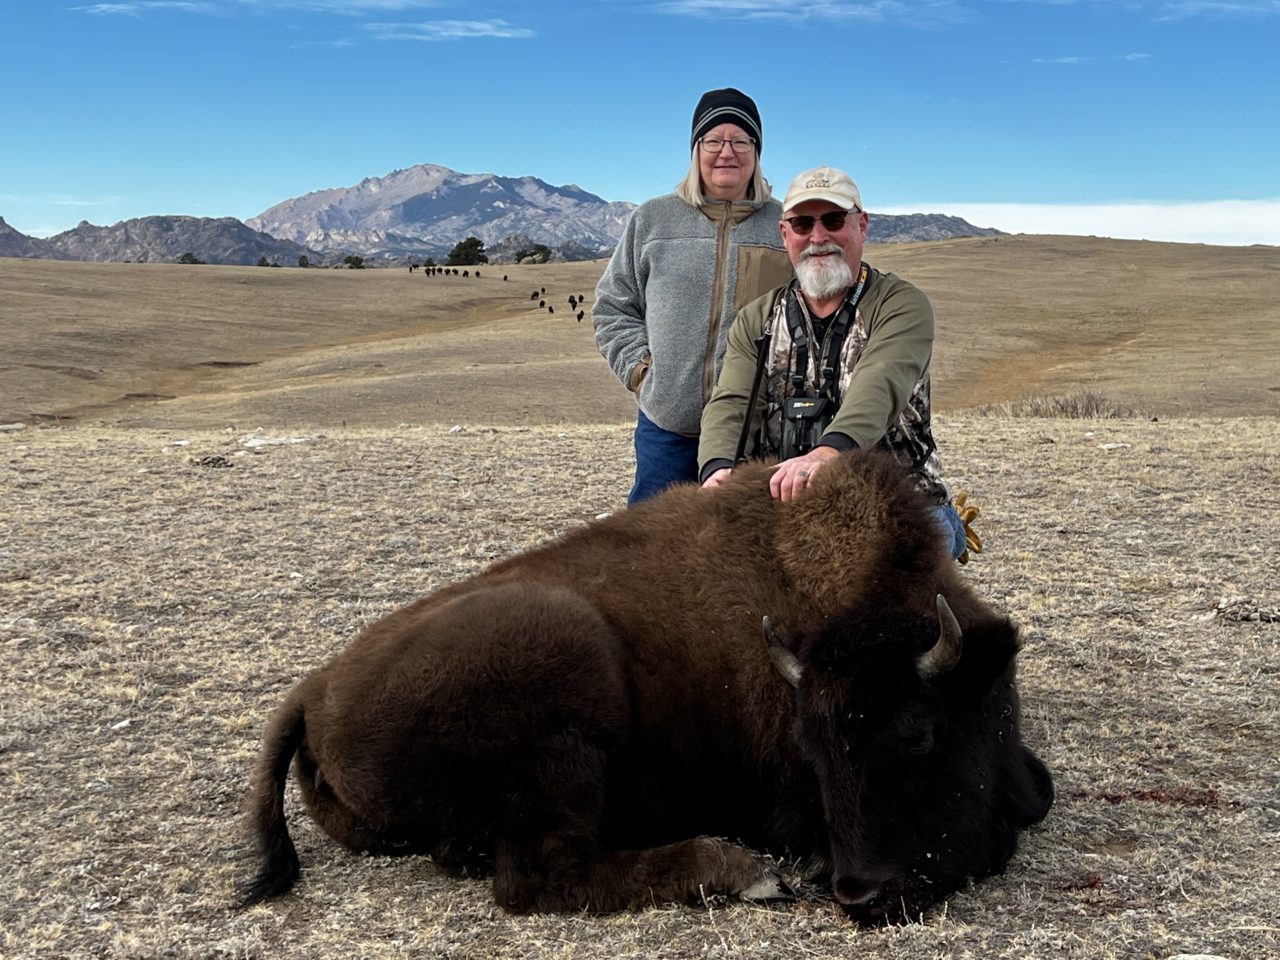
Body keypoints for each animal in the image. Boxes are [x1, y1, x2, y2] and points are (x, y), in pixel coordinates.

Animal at [240, 453, 1053, 921]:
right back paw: (743, 873)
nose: (858, 892)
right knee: (539, 879)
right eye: (812, 750)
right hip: (568, 670)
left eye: (919, 736)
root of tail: (314, 690)